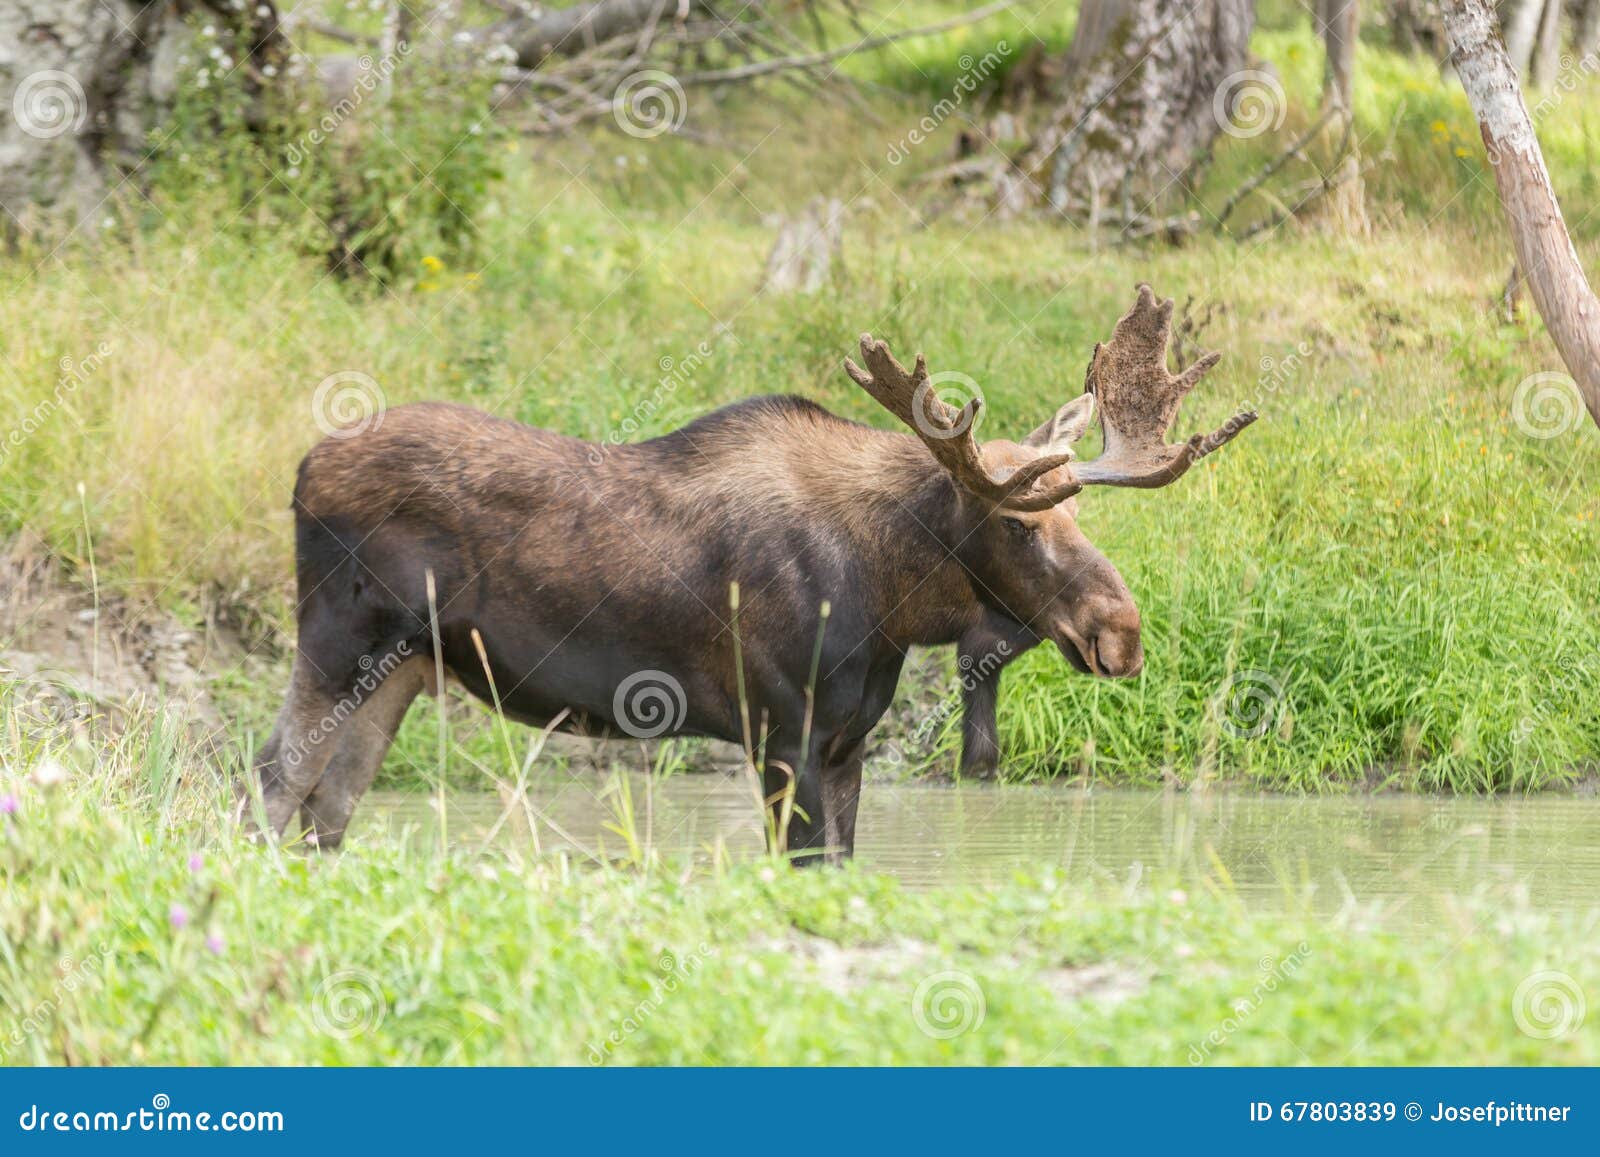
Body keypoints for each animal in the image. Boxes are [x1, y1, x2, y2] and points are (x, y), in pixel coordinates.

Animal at [249, 285, 1254, 864]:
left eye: (1080, 513)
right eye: (1018, 520)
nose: (1120, 631)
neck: (892, 603)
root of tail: (300, 468)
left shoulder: (845, 744)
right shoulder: (780, 733)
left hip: (405, 663)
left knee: (333, 799)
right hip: (336, 638)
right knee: (278, 771)